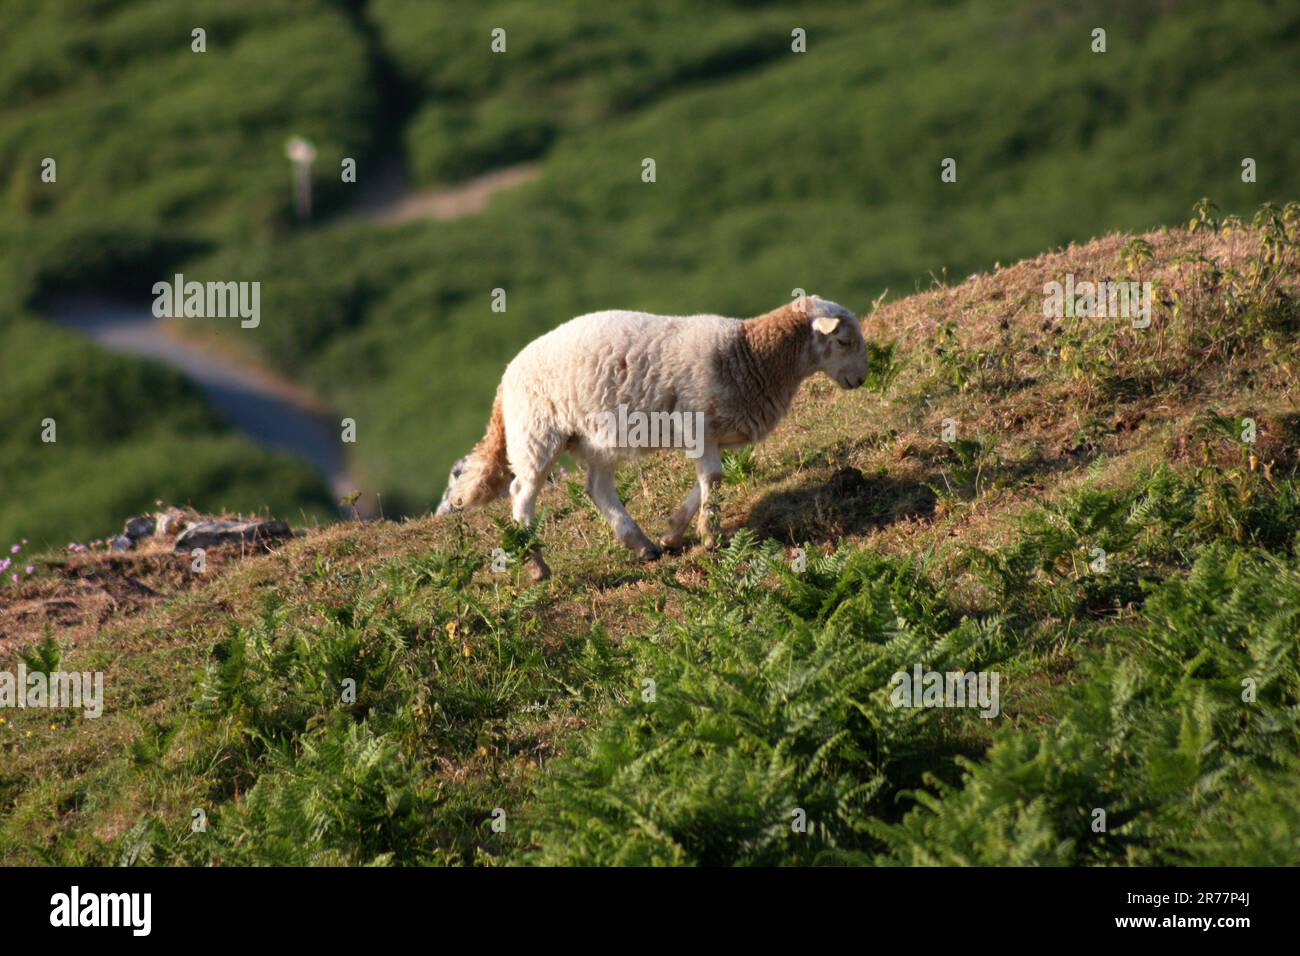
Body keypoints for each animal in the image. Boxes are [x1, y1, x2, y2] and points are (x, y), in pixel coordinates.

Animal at [438, 295, 869, 580]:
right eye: (843, 341)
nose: (861, 379)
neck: (751, 355)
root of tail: (506, 378)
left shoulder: (708, 435)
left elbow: (706, 481)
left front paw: (674, 532)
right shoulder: (696, 422)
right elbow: (713, 479)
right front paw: (710, 537)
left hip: (596, 439)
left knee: (598, 489)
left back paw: (641, 545)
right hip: (537, 433)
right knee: (522, 497)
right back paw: (537, 565)